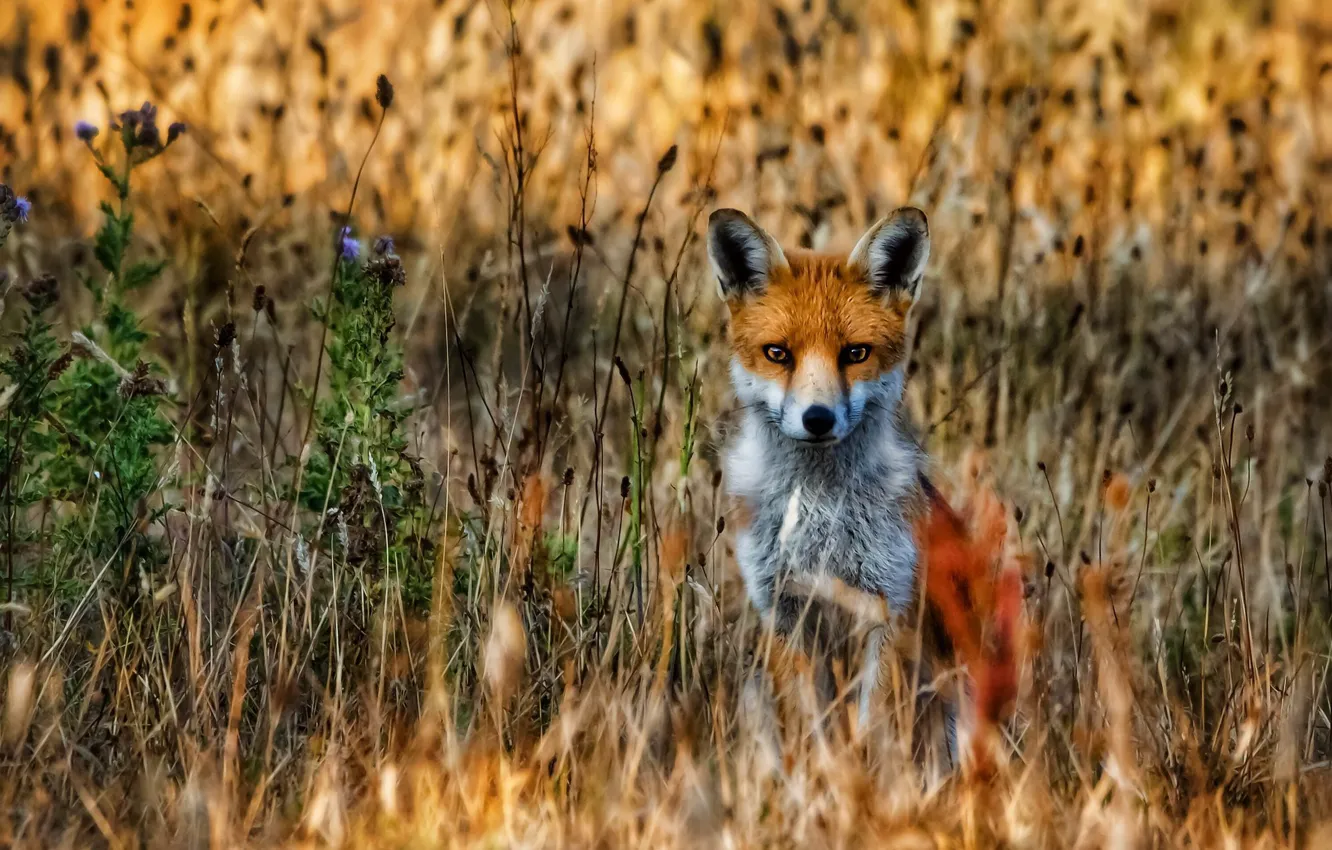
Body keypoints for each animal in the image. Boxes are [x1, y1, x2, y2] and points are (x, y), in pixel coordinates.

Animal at [709, 206, 1021, 766]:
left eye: (855, 353)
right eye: (778, 353)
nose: (817, 418)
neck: (820, 517)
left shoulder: (890, 611)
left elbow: (875, 732)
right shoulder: (783, 612)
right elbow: (808, 730)